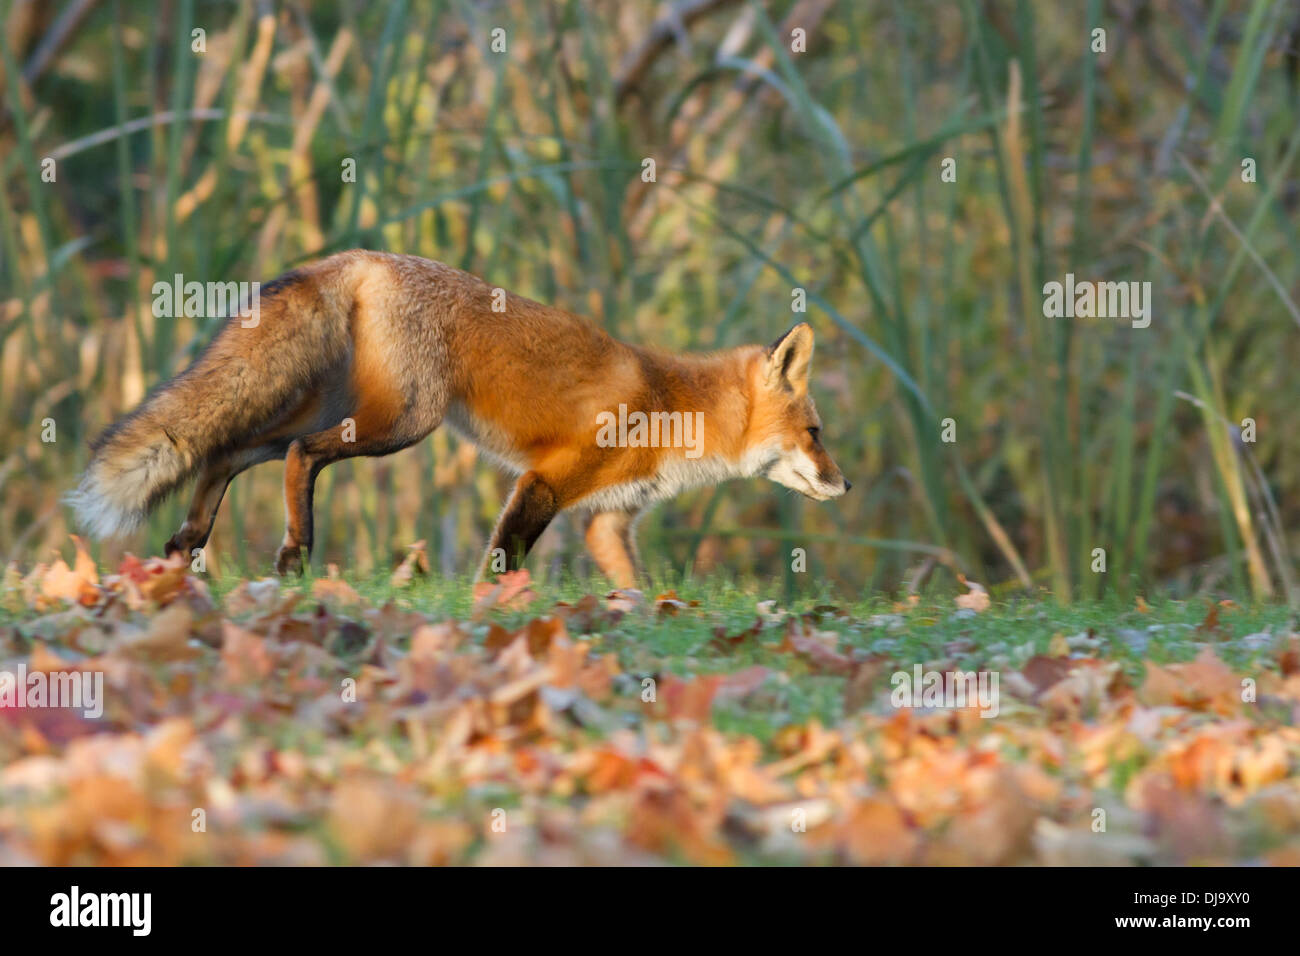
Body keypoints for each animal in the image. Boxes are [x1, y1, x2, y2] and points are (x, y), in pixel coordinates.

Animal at [70, 250, 850, 587]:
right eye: (816, 434)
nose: (845, 487)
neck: (672, 406)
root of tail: (366, 255)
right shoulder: (544, 482)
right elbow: (501, 561)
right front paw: (493, 616)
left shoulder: (605, 521)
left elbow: (635, 589)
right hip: (401, 422)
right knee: (298, 455)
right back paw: (294, 552)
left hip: (330, 405)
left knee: (228, 450)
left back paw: (188, 545)